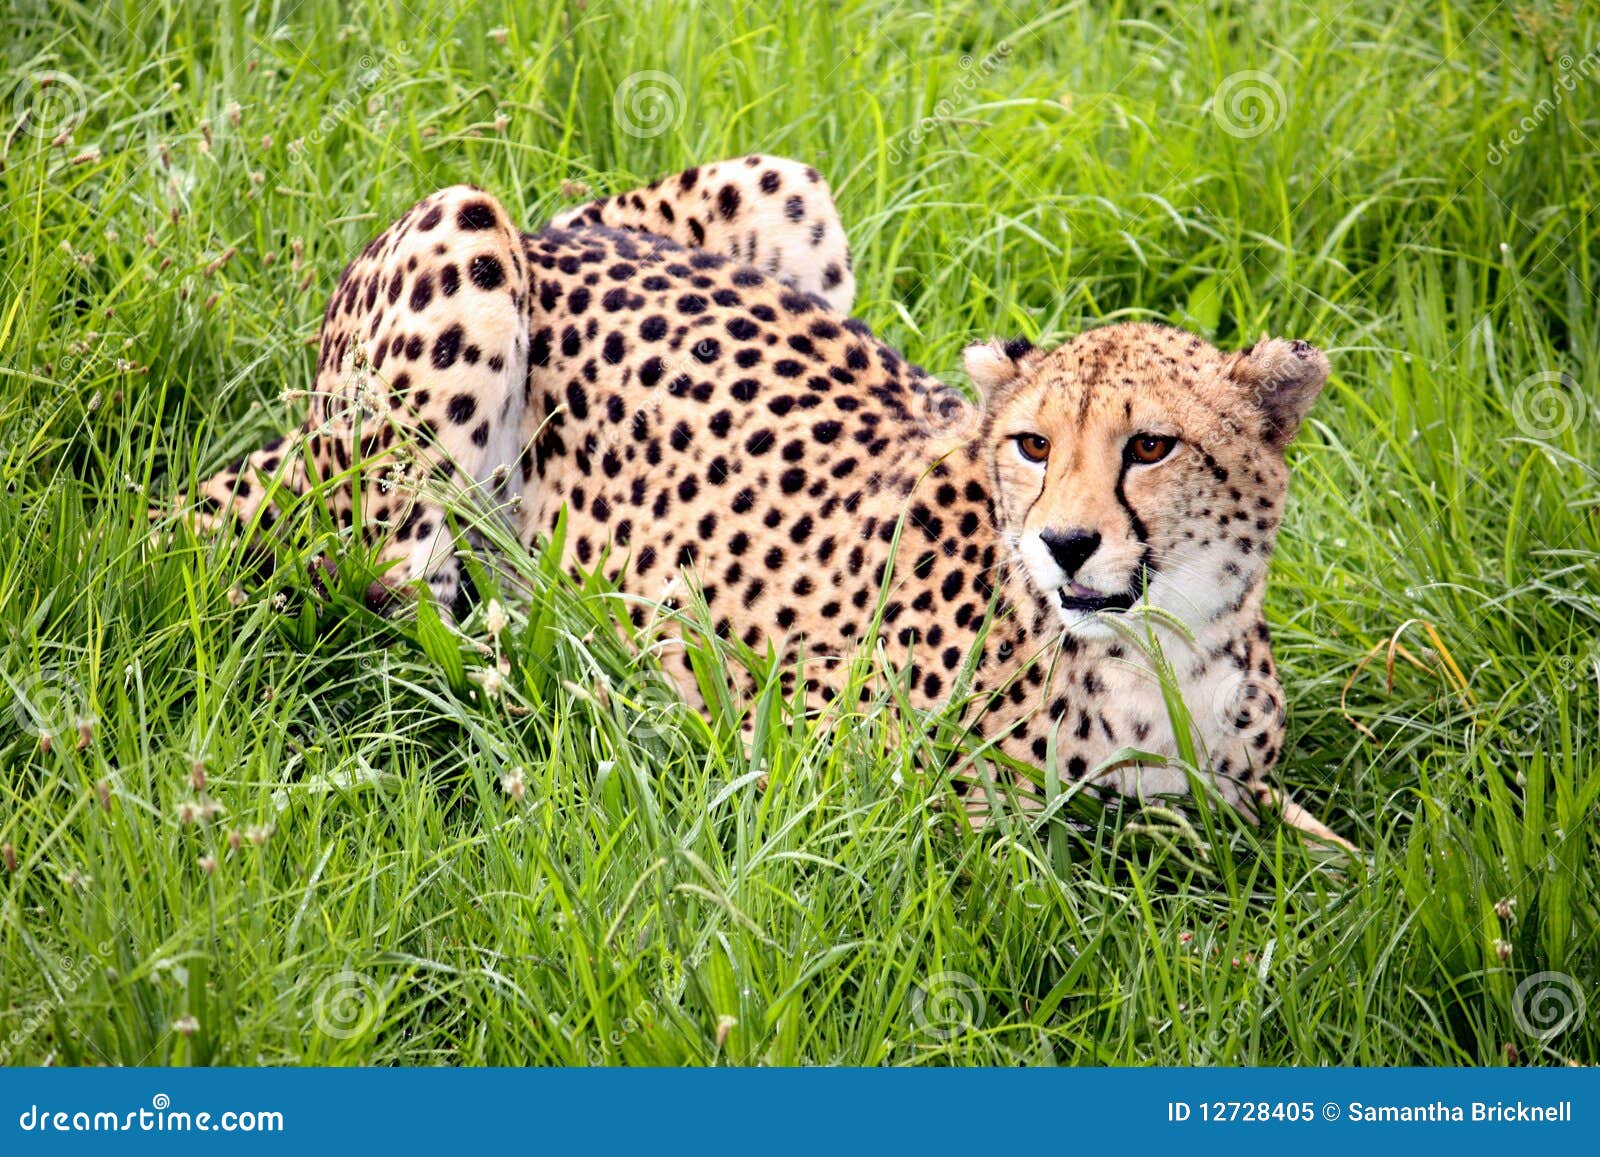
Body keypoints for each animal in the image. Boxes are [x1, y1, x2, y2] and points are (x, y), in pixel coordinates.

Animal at [176, 153, 1350, 851]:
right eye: (1031, 445)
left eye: (1150, 446)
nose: (1063, 543)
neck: (1164, 653)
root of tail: (562, 237)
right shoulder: (834, 764)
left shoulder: (1242, 793)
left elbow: (1329, 851)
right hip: (460, 251)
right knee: (392, 594)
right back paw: (557, 655)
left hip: (786, 188)